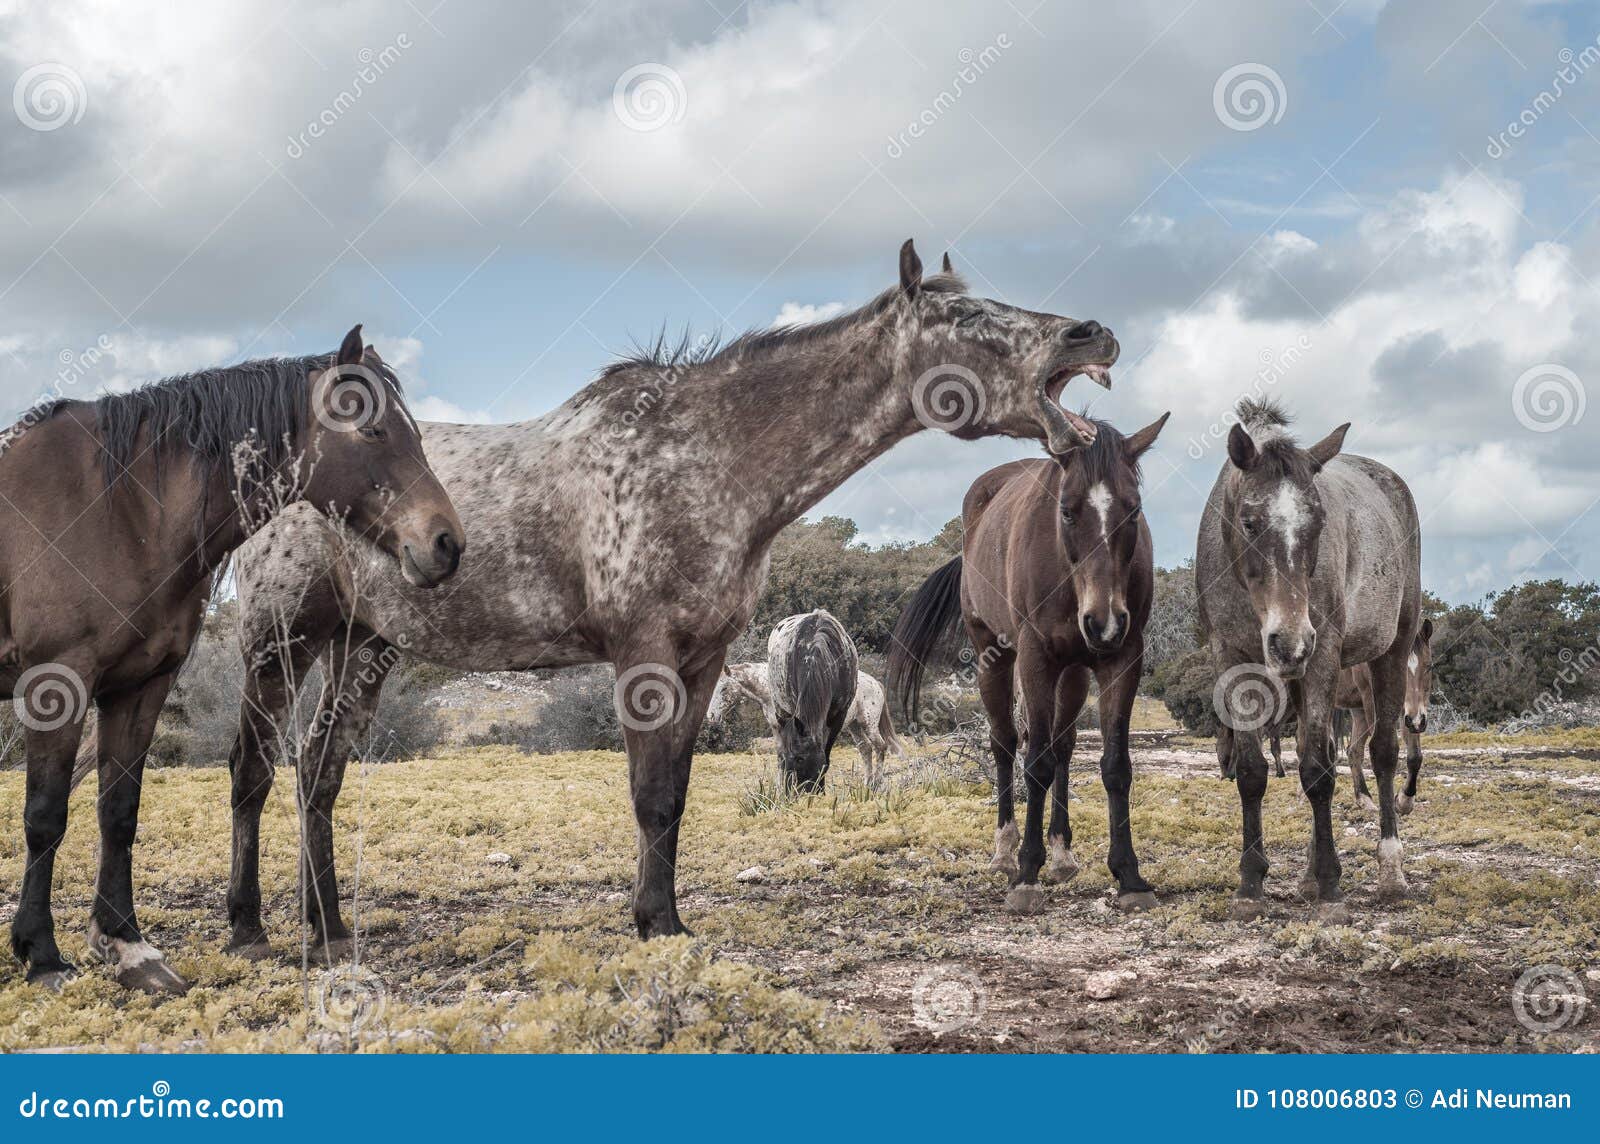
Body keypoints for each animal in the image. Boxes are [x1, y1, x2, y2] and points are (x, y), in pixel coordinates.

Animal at [0, 326, 463, 993]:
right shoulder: (57, 682)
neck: (117, 510)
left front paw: (128, 946)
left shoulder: (140, 687)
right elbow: (44, 816)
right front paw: (40, 953)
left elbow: (119, 812)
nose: (445, 542)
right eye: (374, 430)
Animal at [708, 661, 904, 785]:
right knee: (866, 749)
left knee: (880, 747)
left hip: (868, 724)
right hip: (854, 726)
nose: (711, 716)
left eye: (724, 688)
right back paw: (866, 783)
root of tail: (875, 682)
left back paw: (877, 782)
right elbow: (781, 758)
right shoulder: (777, 730)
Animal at [766, 610, 859, 791]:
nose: (793, 792)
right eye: (792, 758)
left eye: (800, 758)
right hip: (780, 710)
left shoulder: (839, 716)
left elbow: (826, 756)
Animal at [888, 414, 1169, 914]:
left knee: (1063, 747)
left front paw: (1129, 875)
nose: (1104, 621)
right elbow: (1034, 761)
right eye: (1068, 511)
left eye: (1133, 509)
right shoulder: (1036, 659)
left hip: (1074, 672)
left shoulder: (1122, 659)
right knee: (1004, 744)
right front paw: (1026, 872)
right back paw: (1005, 851)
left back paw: (1061, 853)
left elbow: (1115, 765)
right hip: (995, 658)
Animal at [1197, 398, 1421, 924]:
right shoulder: (1231, 658)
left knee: (1382, 752)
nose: (1290, 642)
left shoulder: (1323, 657)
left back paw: (1390, 869)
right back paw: (1306, 874)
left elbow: (1320, 770)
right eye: (1250, 522)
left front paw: (1331, 888)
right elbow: (1254, 770)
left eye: (1318, 524)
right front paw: (1251, 883)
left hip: (1393, 649)